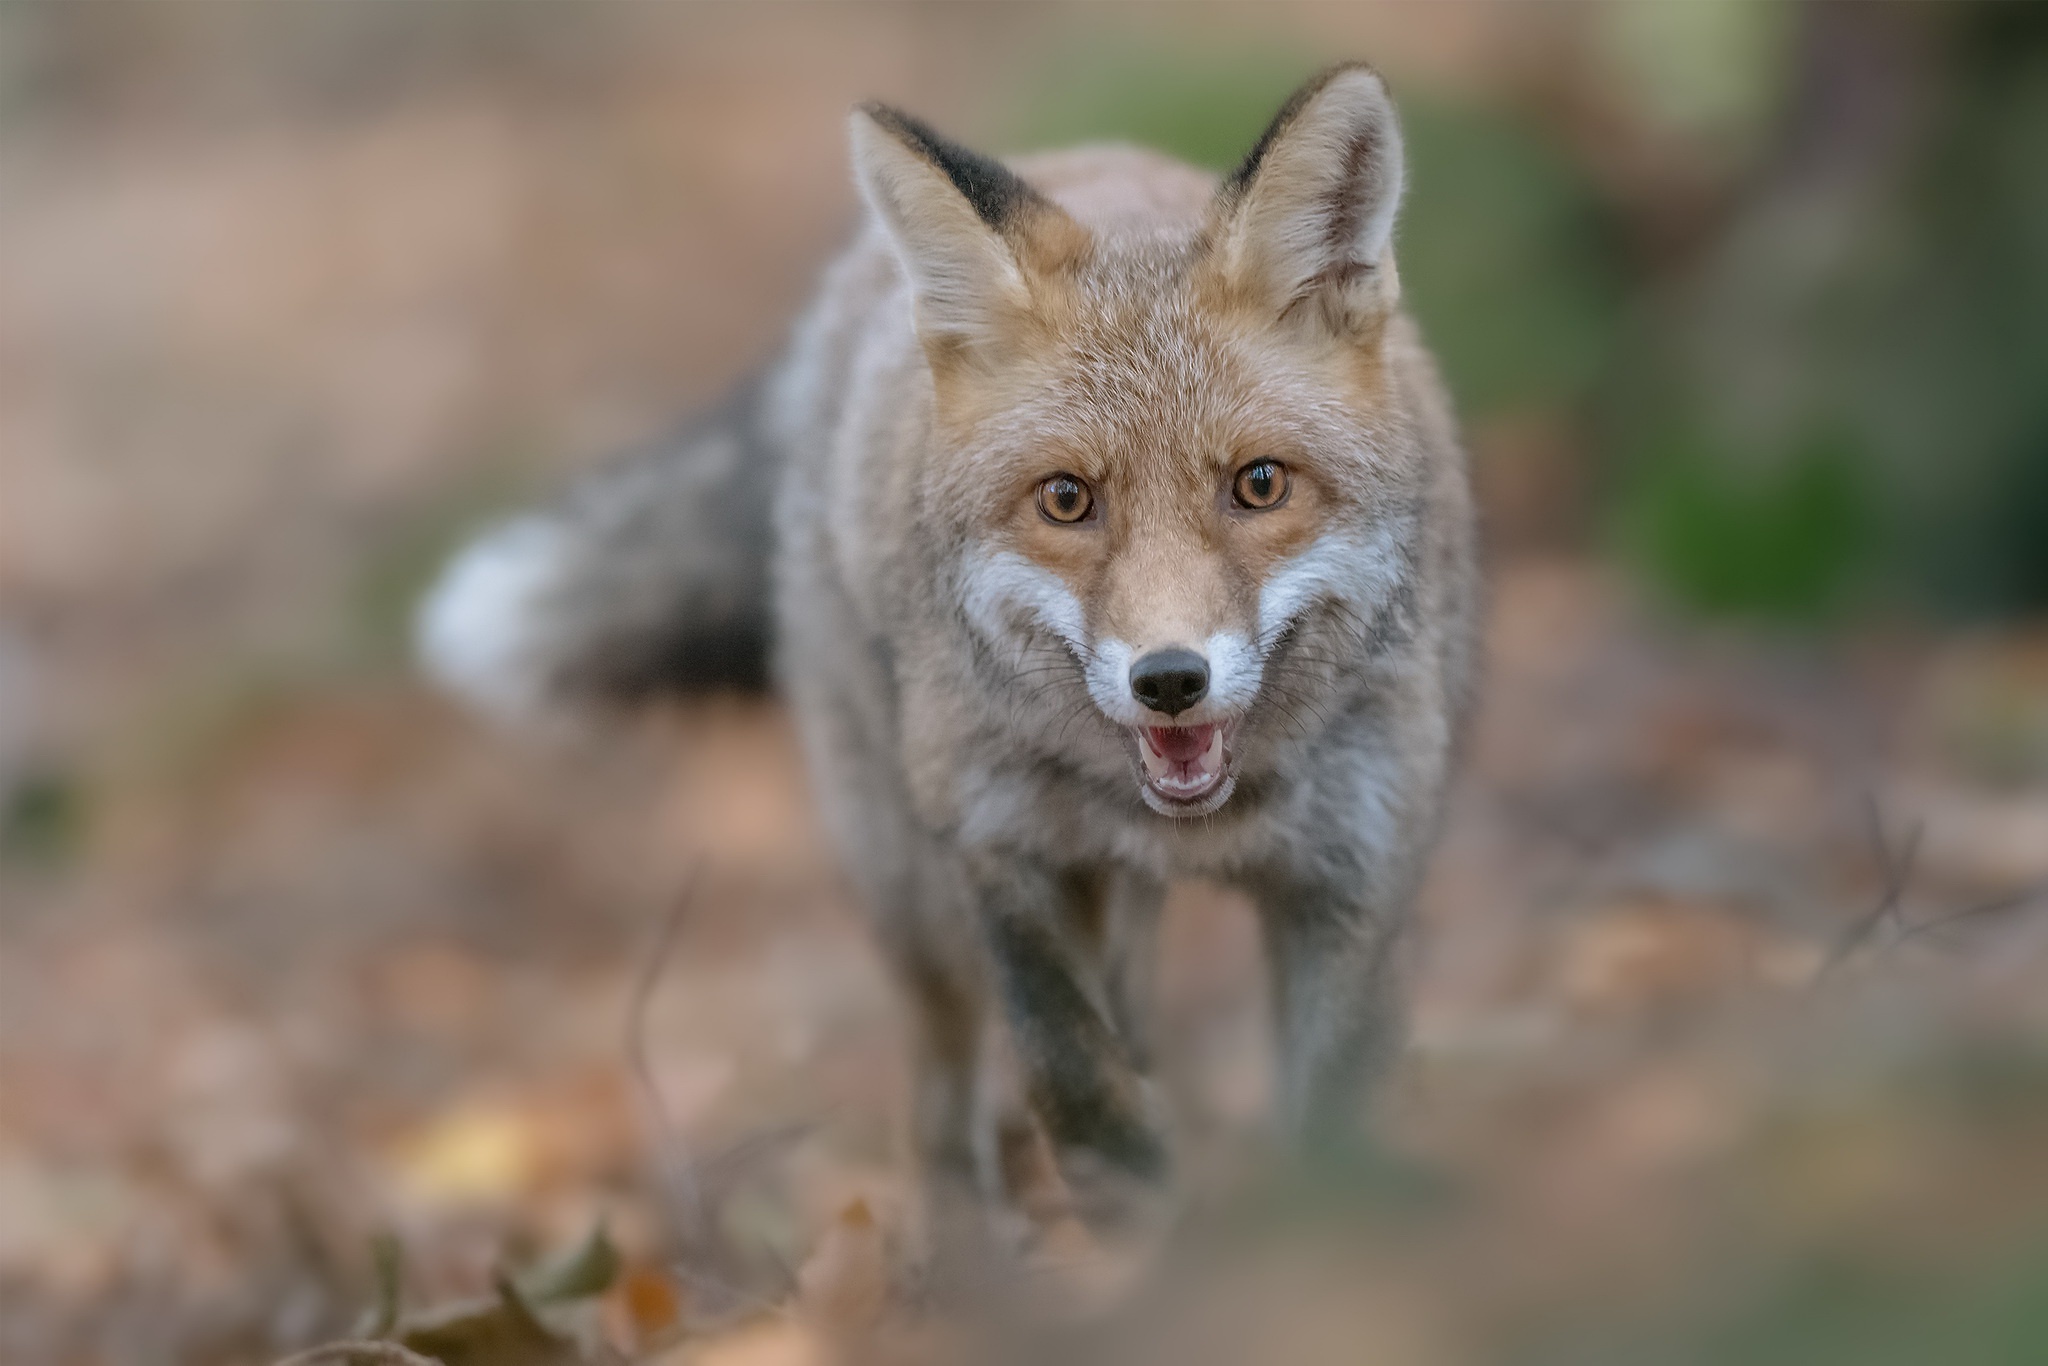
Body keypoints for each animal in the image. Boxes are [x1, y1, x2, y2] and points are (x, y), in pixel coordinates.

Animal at [419, 64, 1480, 1235]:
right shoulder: (995, 843)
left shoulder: (1355, 869)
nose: (1168, 680)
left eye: (1259, 484)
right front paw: (1133, 1196)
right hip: (901, 875)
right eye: (1065, 499)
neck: (1198, 819)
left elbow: (1328, 1118)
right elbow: (1068, 1072)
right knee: (939, 1103)